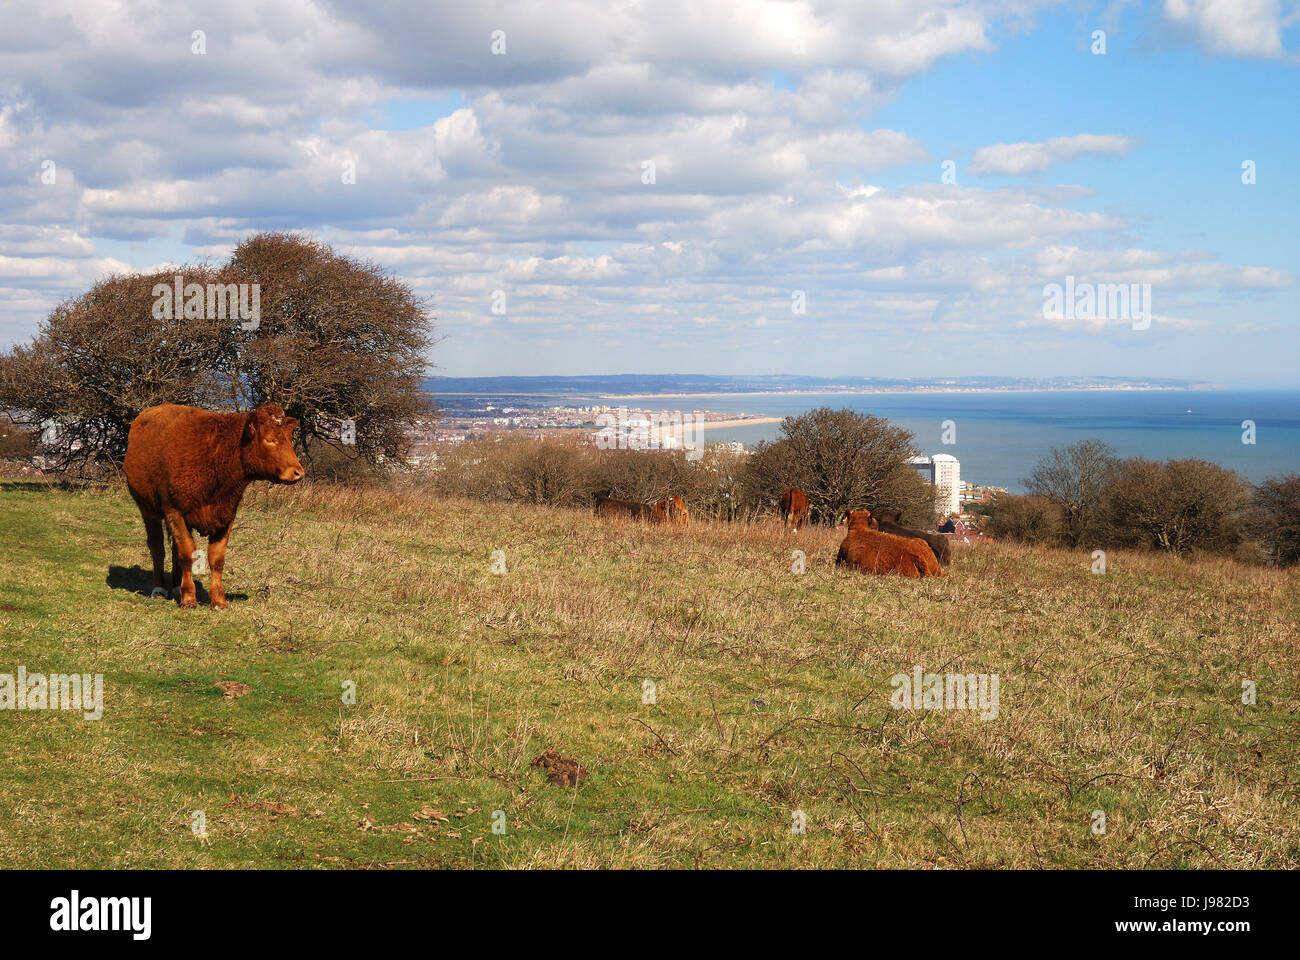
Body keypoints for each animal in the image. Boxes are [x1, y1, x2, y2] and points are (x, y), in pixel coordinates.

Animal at [123, 402, 305, 609]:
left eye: (289, 440)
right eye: (270, 440)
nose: (298, 472)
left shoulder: (227, 514)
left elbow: (216, 558)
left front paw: (218, 600)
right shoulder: (174, 512)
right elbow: (187, 553)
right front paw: (189, 599)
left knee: (174, 550)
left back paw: (177, 586)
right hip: (148, 510)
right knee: (157, 548)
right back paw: (159, 588)